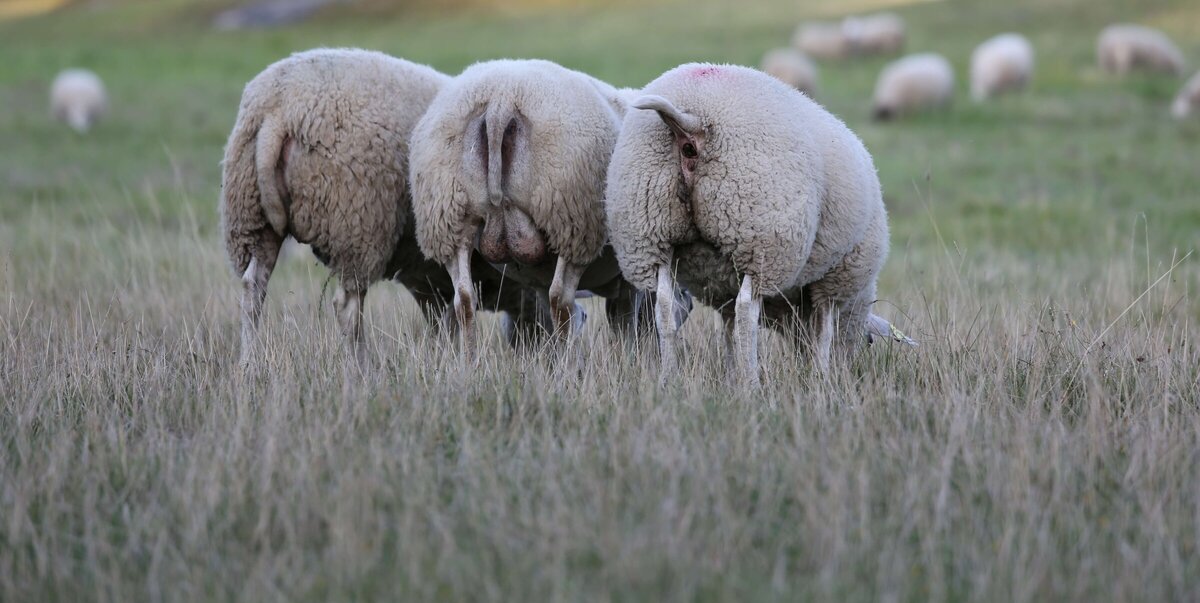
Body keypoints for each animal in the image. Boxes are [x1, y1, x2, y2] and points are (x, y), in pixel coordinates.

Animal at [220, 48, 449, 367]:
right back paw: (362, 367)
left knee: (252, 287)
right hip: (358, 224)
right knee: (348, 306)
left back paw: (249, 363)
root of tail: (279, 111)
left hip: (251, 215)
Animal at [410, 59, 678, 356]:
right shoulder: (629, 275)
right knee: (561, 300)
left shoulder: (537, 276)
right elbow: (625, 319)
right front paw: (629, 357)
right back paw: (569, 361)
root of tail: (500, 102)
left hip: (449, 214)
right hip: (570, 218)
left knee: (464, 299)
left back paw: (470, 360)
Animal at [605, 63, 901, 385]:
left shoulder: (721, 285)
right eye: (869, 341)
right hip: (761, 237)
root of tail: (690, 123)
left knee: (664, 305)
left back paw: (669, 378)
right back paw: (752, 382)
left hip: (648, 231)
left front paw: (731, 372)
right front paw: (821, 376)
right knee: (747, 309)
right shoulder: (836, 280)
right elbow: (823, 332)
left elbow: (728, 328)